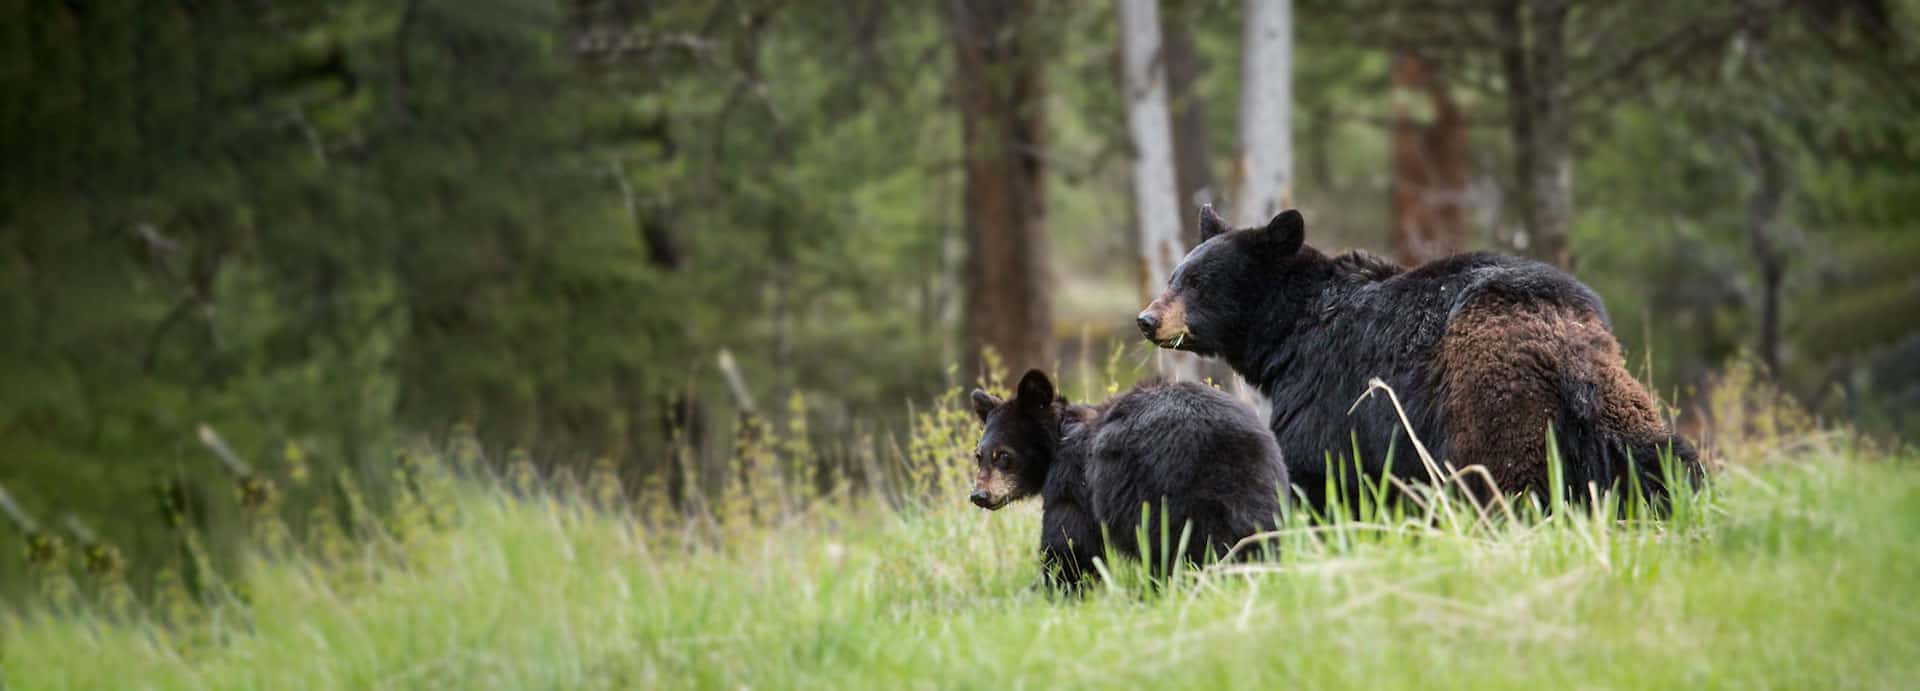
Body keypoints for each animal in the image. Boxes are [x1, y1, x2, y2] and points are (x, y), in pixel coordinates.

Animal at [968, 369, 1288, 588]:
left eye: (1003, 455)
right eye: (979, 455)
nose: (979, 495)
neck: (1061, 437)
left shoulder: (1074, 482)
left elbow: (1070, 542)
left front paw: (1055, 589)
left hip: (1168, 494)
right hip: (1264, 489)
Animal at [1135, 205, 1705, 513]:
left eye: (1198, 282)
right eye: (1175, 276)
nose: (1147, 319)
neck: (1290, 331)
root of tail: (1562, 345)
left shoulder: (1329, 386)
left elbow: (1314, 466)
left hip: (1493, 405)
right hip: (1615, 401)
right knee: (1659, 456)